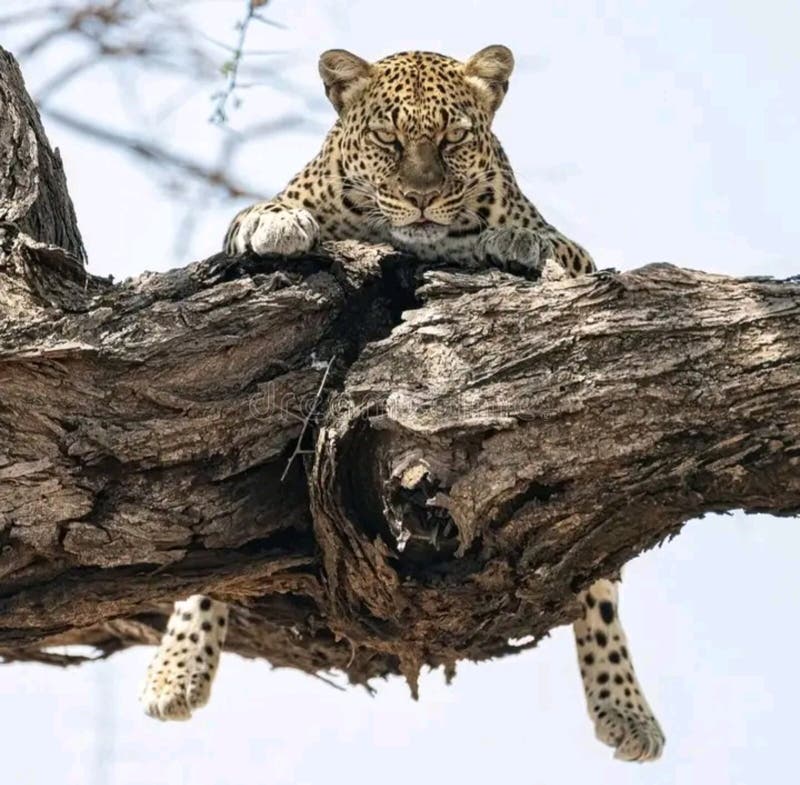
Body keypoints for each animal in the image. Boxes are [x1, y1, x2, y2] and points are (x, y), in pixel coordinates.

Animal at [140, 45, 665, 763]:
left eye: (452, 138)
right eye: (389, 139)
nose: (420, 196)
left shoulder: (575, 256)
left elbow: (535, 243)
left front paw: (508, 244)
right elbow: (263, 217)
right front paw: (275, 221)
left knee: (602, 588)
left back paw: (626, 706)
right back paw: (176, 670)